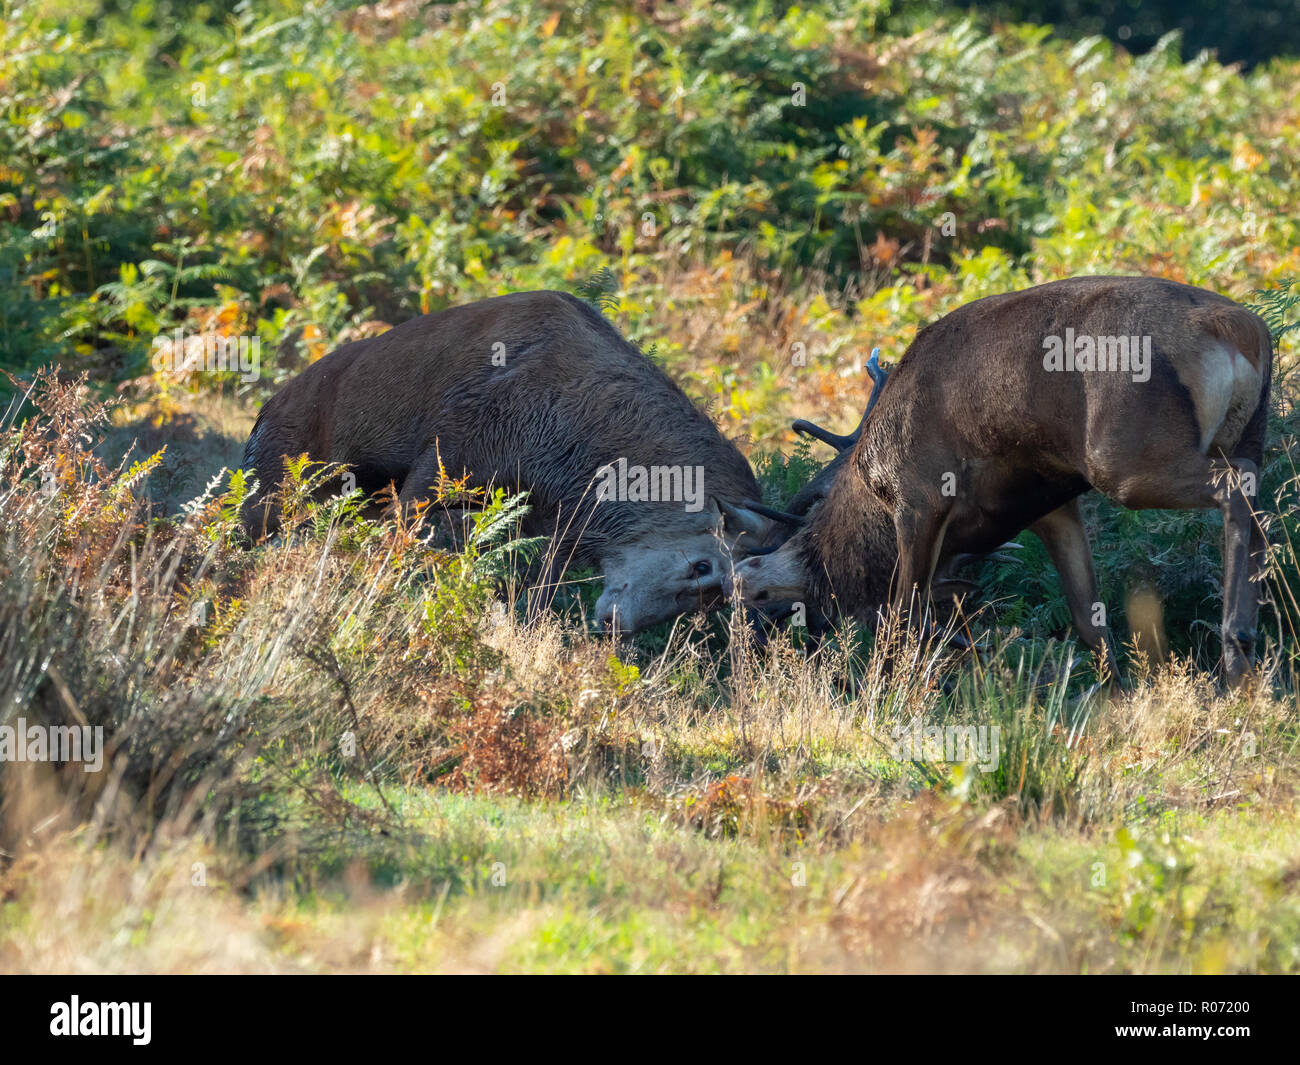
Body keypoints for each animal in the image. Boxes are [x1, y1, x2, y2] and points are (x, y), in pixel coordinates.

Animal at [239, 289, 778, 633]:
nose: (615, 626)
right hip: (272, 486)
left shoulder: (546, 521)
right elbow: (397, 543)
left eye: (718, 598)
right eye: (703, 566)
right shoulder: (444, 459)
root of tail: (266, 407)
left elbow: (537, 592)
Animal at [724, 276, 1272, 686]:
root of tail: (1241, 331)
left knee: (1237, 485)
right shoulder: (1051, 504)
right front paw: (1116, 699)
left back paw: (1234, 645)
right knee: (1254, 492)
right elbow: (1088, 620)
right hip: (1243, 435)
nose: (751, 639)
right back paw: (1248, 657)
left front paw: (884, 697)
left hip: (1125, 455)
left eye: (772, 601)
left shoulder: (921, 494)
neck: (870, 484)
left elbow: (903, 617)